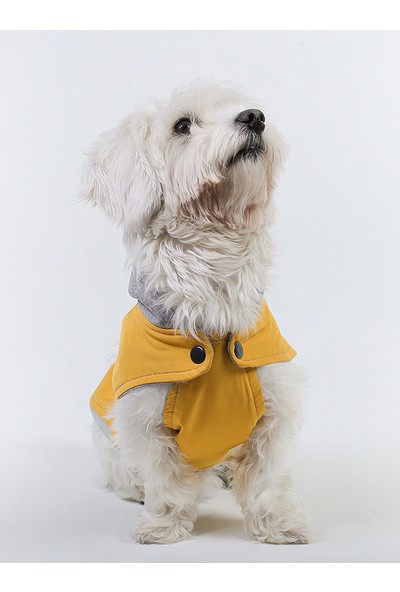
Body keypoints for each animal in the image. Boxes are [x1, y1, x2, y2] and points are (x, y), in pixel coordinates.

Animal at [82, 81, 309, 544]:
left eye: (243, 107)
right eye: (182, 125)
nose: (254, 116)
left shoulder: (275, 410)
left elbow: (267, 478)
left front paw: (277, 525)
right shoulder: (143, 419)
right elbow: (165, 479)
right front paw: (163, 525)